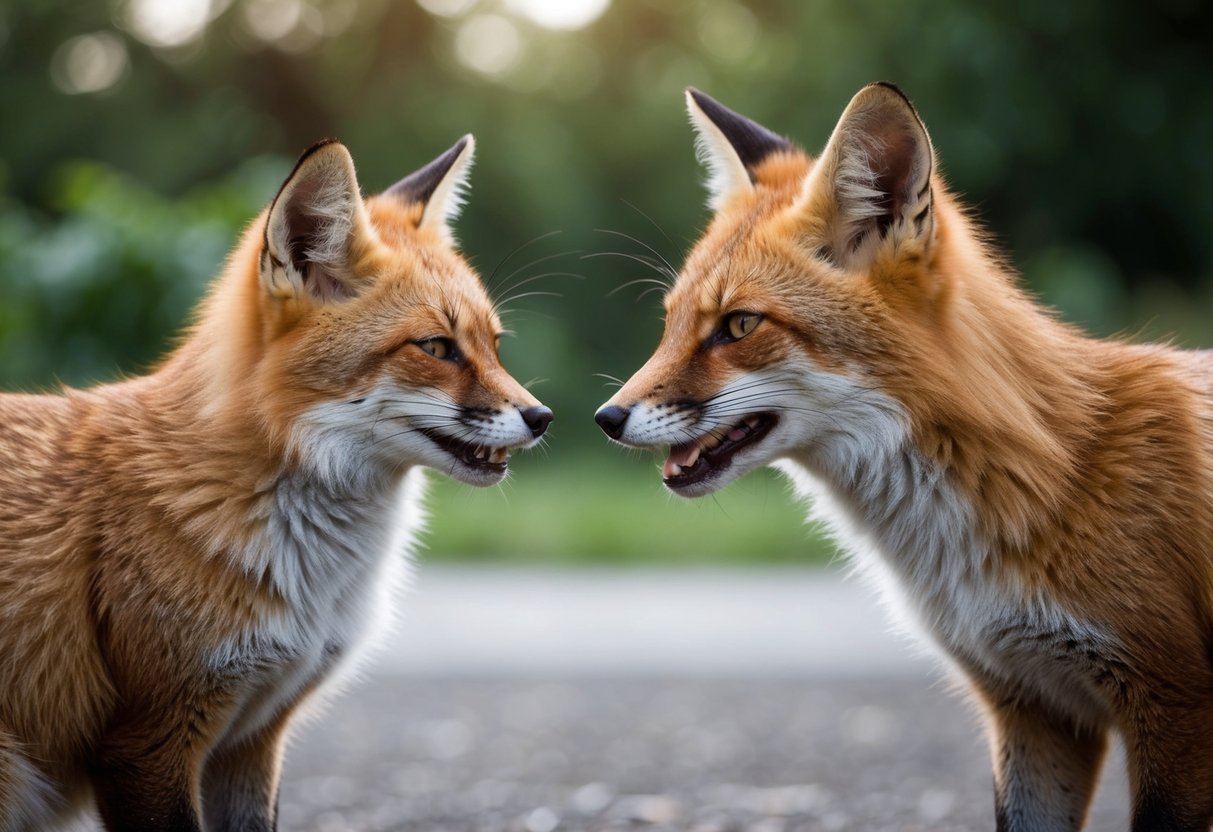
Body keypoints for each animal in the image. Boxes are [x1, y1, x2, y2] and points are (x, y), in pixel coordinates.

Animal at [595, 84, 1213, 832]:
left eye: (739, 325)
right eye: (671, 323)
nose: (606, 418)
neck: (1047, 474)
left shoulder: (1171, 702)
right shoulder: (1033, 710)